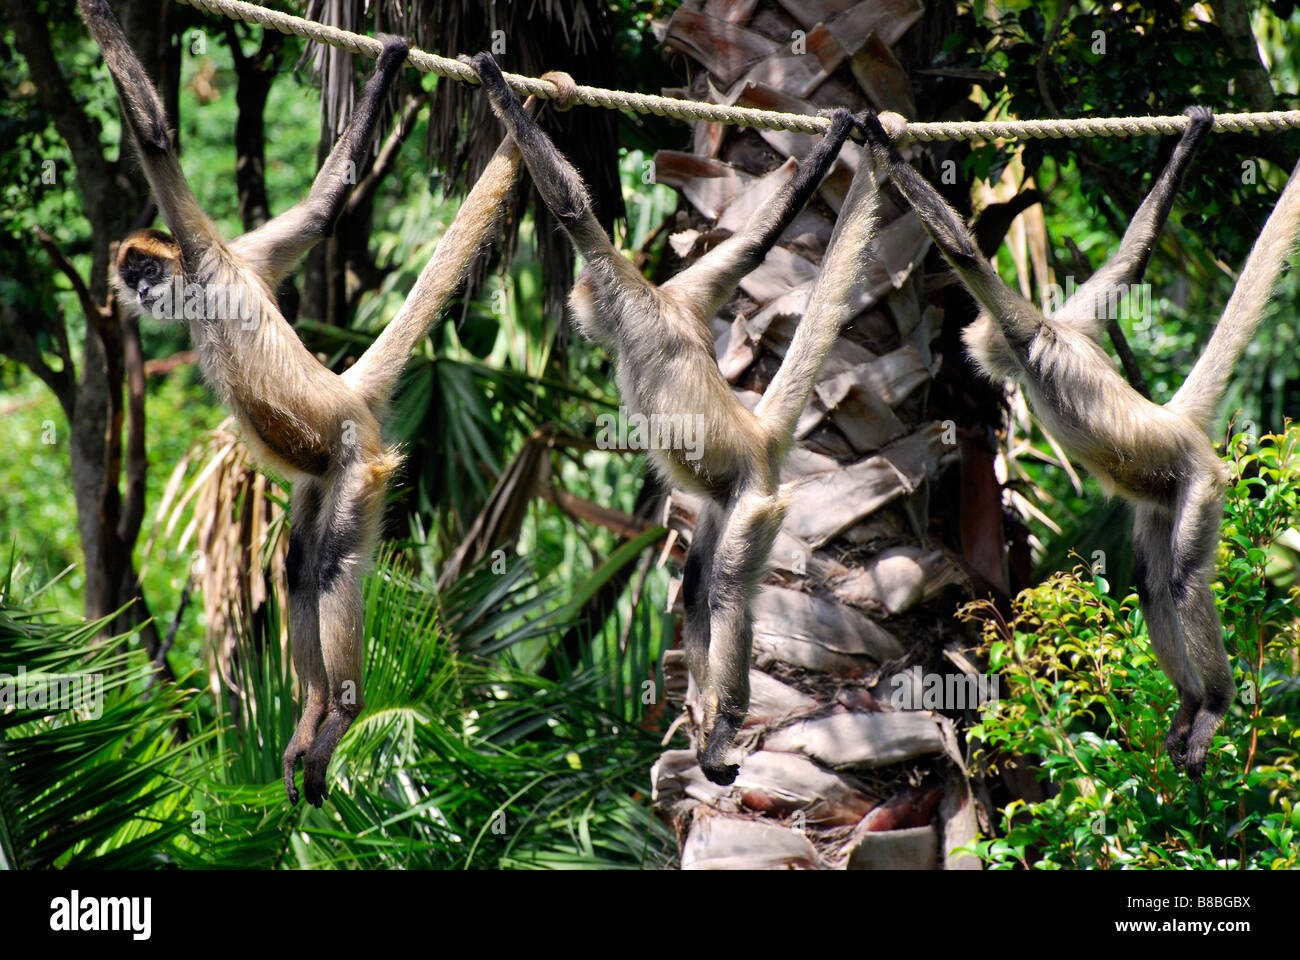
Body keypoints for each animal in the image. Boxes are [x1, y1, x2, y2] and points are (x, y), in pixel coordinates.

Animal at [80, 0, 530, 806]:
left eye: (144, 266)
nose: (136, 288)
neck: (201, 292)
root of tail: (348, 388)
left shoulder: (212, 253)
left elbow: (156, 135)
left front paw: (94, 12)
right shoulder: (249, 254)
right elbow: (321, 212)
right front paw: (388, 64)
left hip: (359, 462)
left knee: (332, 565)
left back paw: (339, 720)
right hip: (320, 477)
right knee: (295, 566)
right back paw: (311, 718)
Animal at [467, 51, 891, 785]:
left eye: (585, 304)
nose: (578, 318)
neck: (651, 304)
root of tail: (757, 433)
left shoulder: (629, 291)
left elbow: (572, 207)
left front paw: (500, 85)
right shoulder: (689, 290)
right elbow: (751, 246)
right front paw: (838, 135)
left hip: (757, 502)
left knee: (723, 593)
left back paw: (723, 727)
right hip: (725, 503)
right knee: (696, 589)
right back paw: (703, 723)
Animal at [856, 106, 1300, 779]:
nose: (975, 358)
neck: (1040, 340)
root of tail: (1175, 421)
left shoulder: (1030, 329)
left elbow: (962, 251)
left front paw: (878, 141)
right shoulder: (1068, 321)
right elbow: (1128, 264)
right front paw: (1193, 135)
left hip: (1201, 481)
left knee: (1182, 580)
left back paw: (1216, 704)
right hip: (1163, 497)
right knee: (1150, 579)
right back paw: (1188, 703)